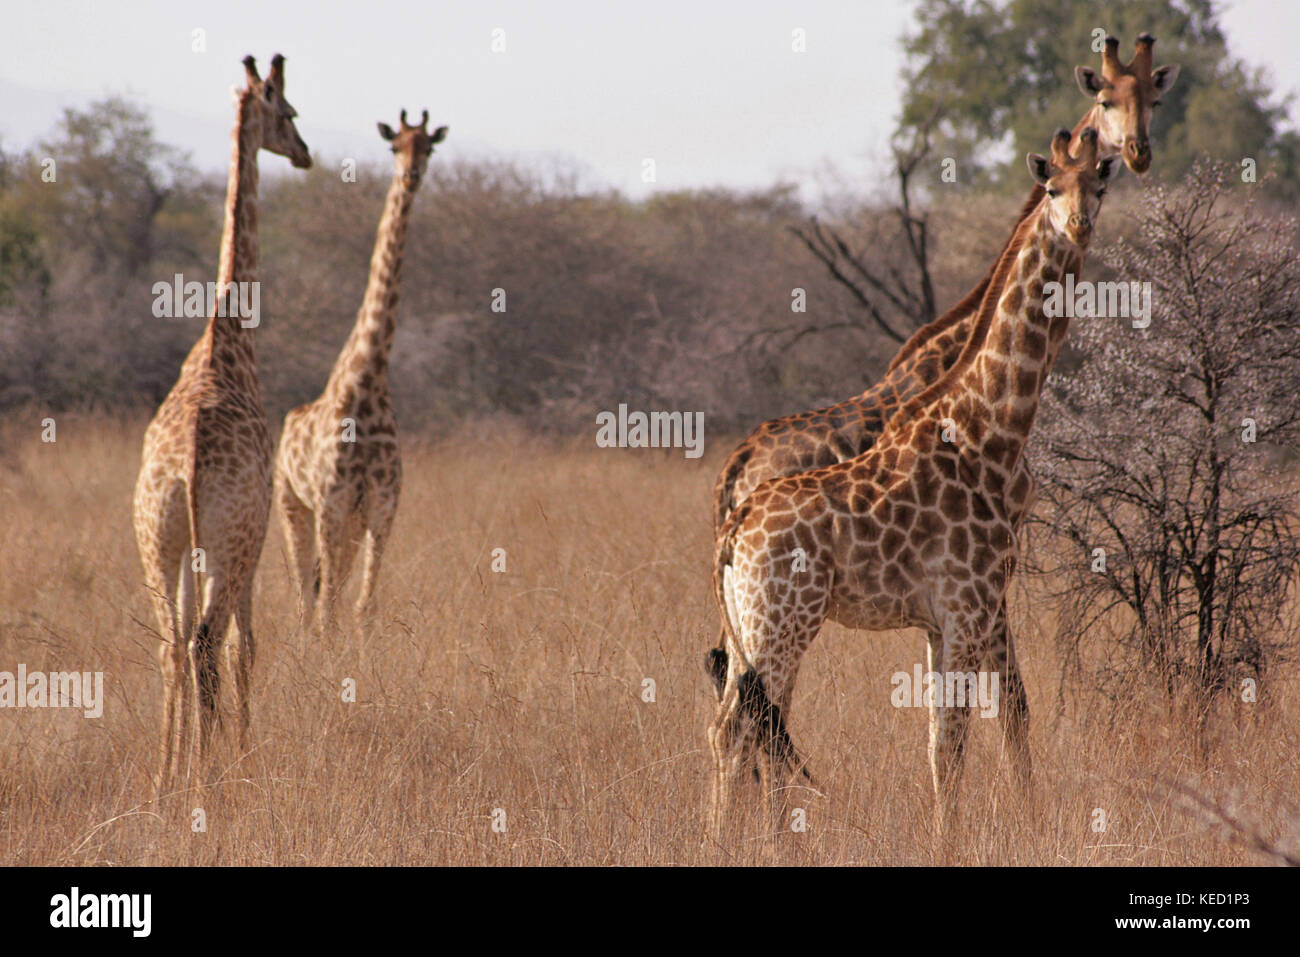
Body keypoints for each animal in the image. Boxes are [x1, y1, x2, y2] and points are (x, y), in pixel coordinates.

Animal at [274, 111, 447, 638]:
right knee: (304, 594)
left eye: (428, 147)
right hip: (292, 505)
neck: (367, 379)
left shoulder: (382, 507)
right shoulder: (330, 503)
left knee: (325, 589)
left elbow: (362, 606)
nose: (410, 177)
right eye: (395, 147)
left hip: (348, 521)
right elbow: (327, 605)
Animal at [705, 34, 1179, 785]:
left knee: (741, 723)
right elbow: (972, 733)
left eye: (1099, 182)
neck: (992, 423)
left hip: (752, 625)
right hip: (783, 619)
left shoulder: (952, 612)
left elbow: (954, 734)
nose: (1135, 153)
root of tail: (736, 503)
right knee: (745, 730)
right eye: (1105, 99)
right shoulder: (970, 599)